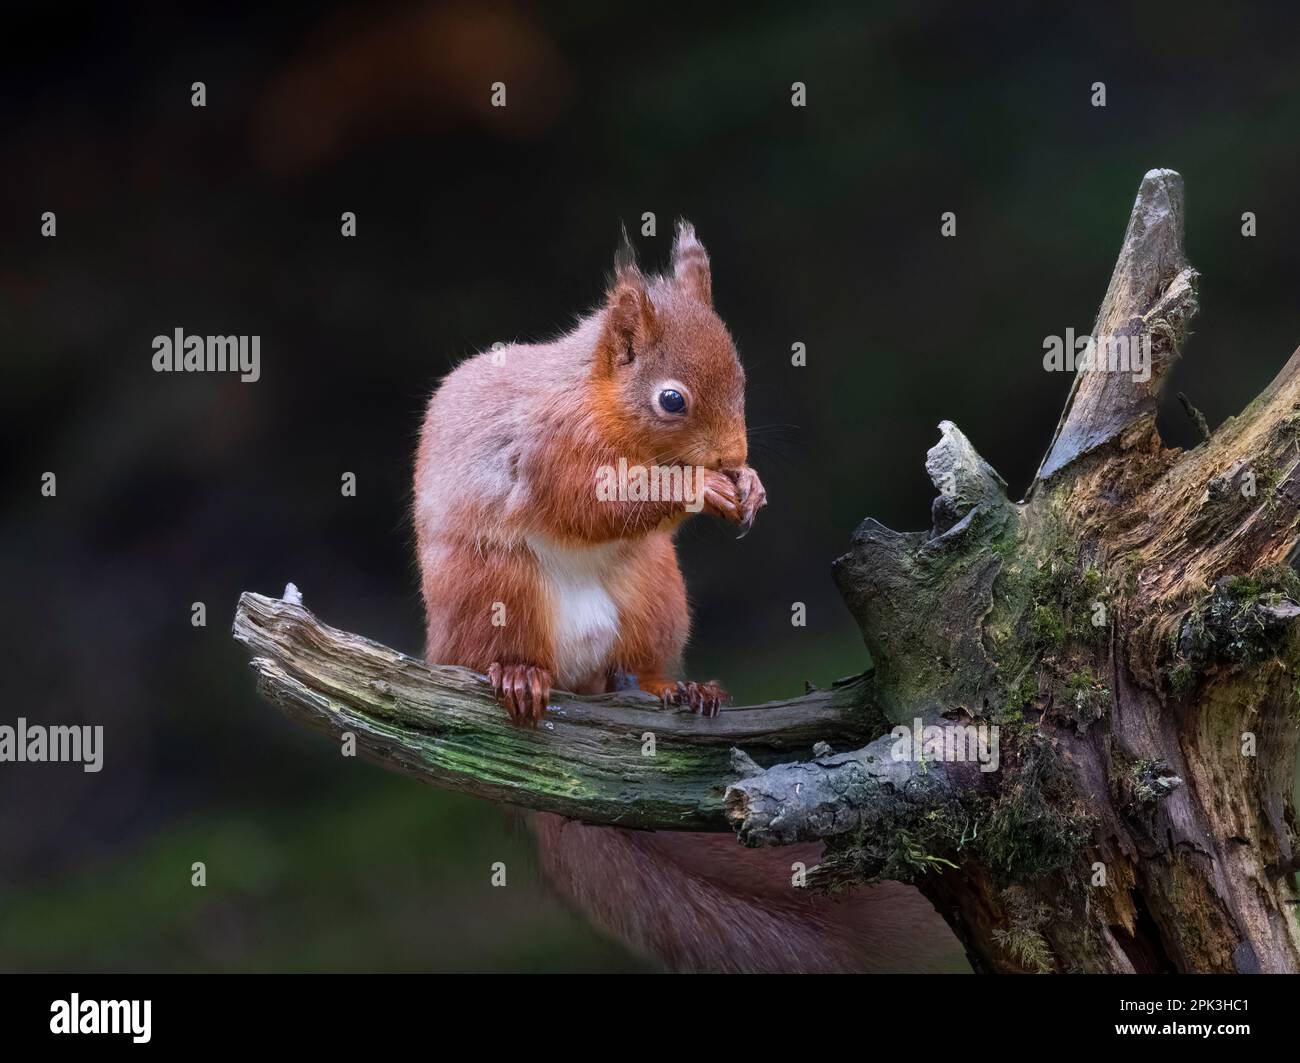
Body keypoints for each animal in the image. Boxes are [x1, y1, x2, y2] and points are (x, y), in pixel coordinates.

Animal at [414, 223, 960, 972]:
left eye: (742, 379)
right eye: (671, 400)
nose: (732, 456)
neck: (600, 404)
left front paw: (748, 485)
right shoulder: (548, 452)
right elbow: (590, 504)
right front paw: (702, 488)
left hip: (653, 592)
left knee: (635, 665)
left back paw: (677, 690)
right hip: (493, 588)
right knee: (495, 651)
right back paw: (516, 675)